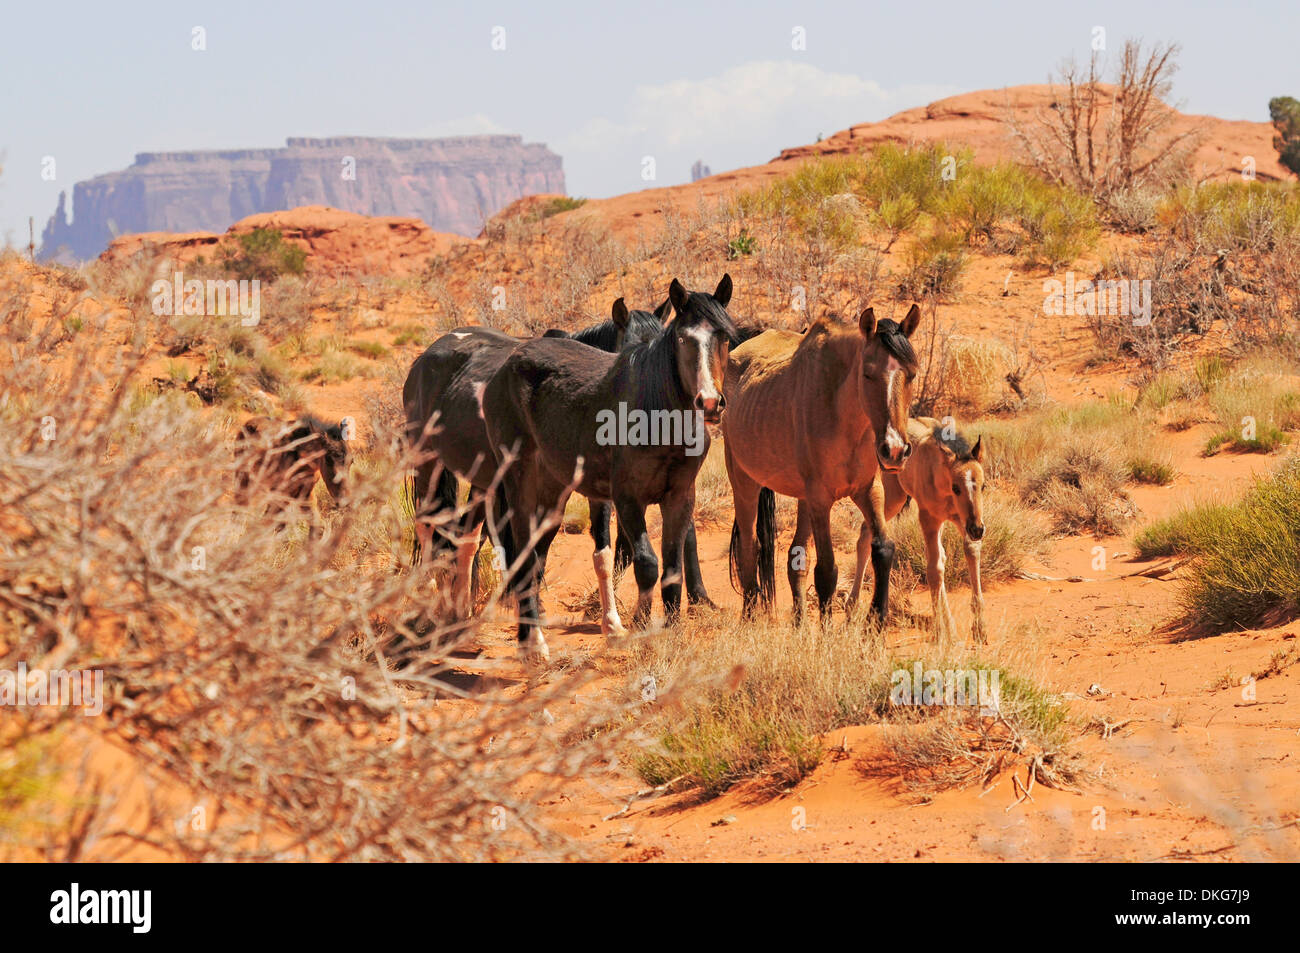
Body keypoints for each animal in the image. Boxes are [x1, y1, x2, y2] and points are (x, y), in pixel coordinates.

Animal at [401, 296, 714, 622]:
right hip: (429, 461)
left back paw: (460, 607)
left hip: (482, 481)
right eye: (631, 351)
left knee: (466, 536)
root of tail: (424, 358)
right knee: (427, 525)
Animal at [481, 275, 736, 662]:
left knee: (537, 556)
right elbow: (646, 564)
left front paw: (672, 631)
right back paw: (535, 644)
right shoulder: (627, 498)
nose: (708, 402)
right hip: (519, 483)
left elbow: (672, 568)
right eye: (682, 338)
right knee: (524, 554)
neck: (657, 415)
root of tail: (507, 364)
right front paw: (639, 627)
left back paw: (528, 638)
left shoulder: (680, 496)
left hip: (553, 492)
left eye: (723, 337)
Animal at [724, 304, 922, 625]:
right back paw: (750, 617)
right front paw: (827, 631)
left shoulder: (869, 490)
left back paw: (799, 624)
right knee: (749, 549)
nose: (894, 450)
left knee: (795, 559)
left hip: (802, 498)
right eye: (867, 374)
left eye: (912, 374)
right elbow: (827, 570)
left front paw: (876, 619)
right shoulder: (820, 499)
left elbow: (883, 548)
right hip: (745, 483)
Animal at [864, 417, 988, 642]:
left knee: (941, 556)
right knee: (865, 533)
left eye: (983, 486)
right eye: (956, 487)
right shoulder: (928, 518)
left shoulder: (959, 520)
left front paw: (980, 628)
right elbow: (933, 569)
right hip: (892, 497)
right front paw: (941, 631)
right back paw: (851, 605)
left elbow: (968, 552)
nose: (978, 529)